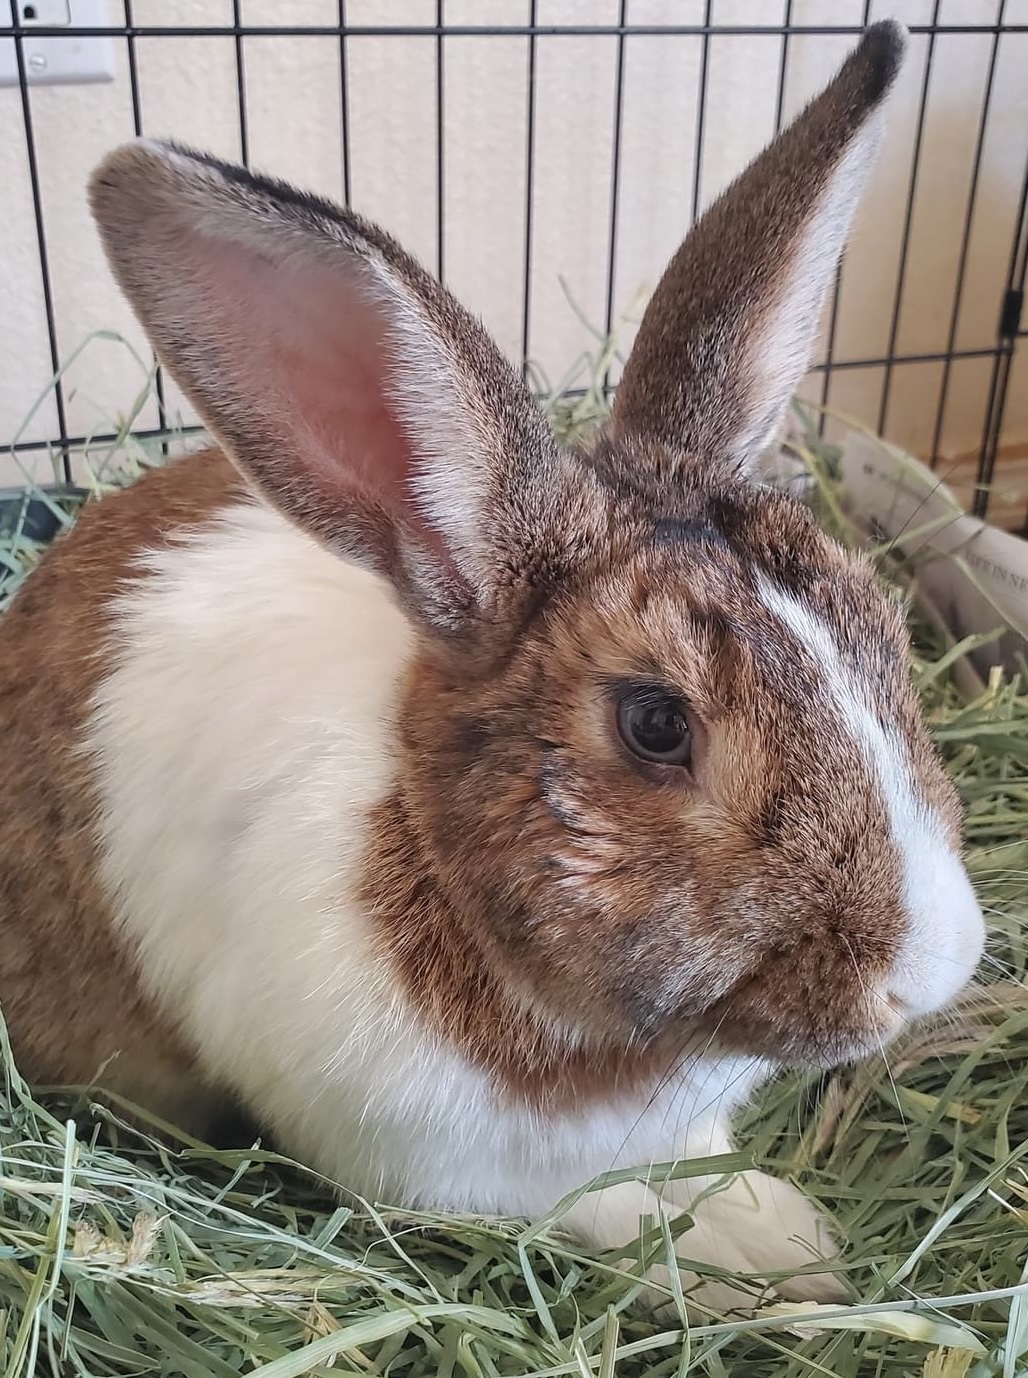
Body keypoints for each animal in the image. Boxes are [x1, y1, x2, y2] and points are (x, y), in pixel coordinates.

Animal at [0, 19, 984, 1314]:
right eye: (654, 724)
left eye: (880, 626)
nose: (929, 971)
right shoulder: (436, 1161)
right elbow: (605, 1208)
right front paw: (773, 1251)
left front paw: (777, 1232)